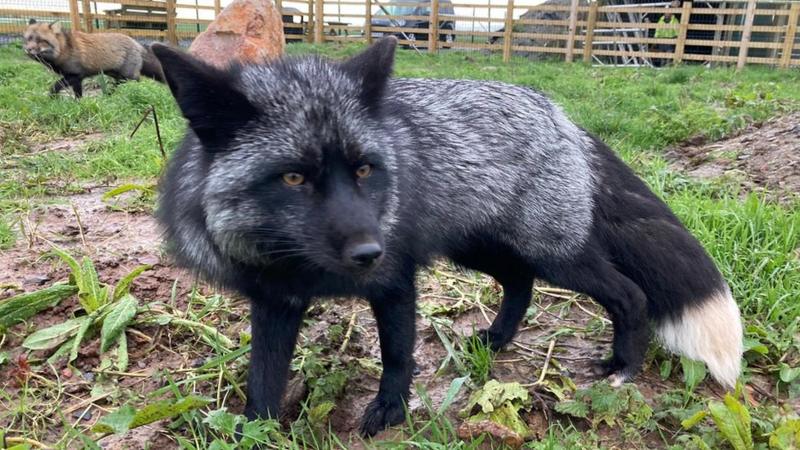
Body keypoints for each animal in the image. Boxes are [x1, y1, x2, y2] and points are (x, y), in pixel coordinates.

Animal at [23, 19, 164, 98]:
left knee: (137, 83)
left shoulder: (74, 75)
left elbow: (54, 87)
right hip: (116, 75)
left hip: (128, 76)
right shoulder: (76, 79)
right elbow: (78, 94)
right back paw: (110, 95)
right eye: (28, 39)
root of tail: (137, 44)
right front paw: (78, 103)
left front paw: (51, 98)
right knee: (119, 85)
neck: (65, 50)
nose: (28, 50)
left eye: (41, 41)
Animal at [151, 37, 743, 436]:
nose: (370, 251)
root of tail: (561, 117)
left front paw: (390, 412)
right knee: (520, 284)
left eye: (364, 170)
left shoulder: (395, 281)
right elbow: (263, 381)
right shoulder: (275, 302)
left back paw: (622, 367)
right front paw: (258, 431)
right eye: (293, 178)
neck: (303, 266)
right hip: (478, 249)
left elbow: (397, 356)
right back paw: (497, 339)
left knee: (629, 294)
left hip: (556, 255)